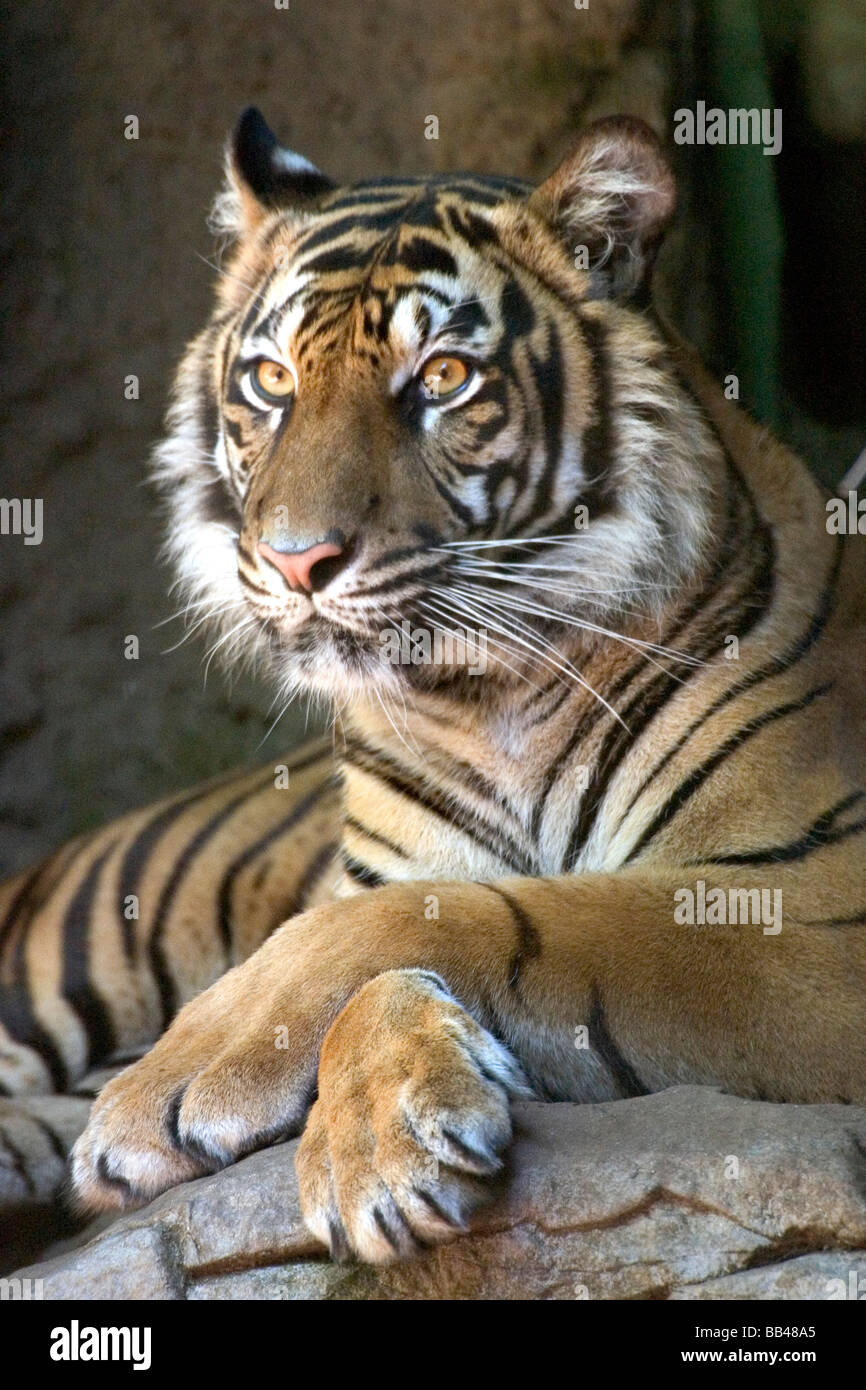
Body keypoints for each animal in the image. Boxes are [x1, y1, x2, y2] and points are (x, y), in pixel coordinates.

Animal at [2, 107, 866, 1269]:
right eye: (271, 382)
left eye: (445, 376)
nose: (295, 562)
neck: (485, 702)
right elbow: (392, 926)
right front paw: (368, 1141)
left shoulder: (811, 903)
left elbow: (474, 919)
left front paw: (228, 1092)